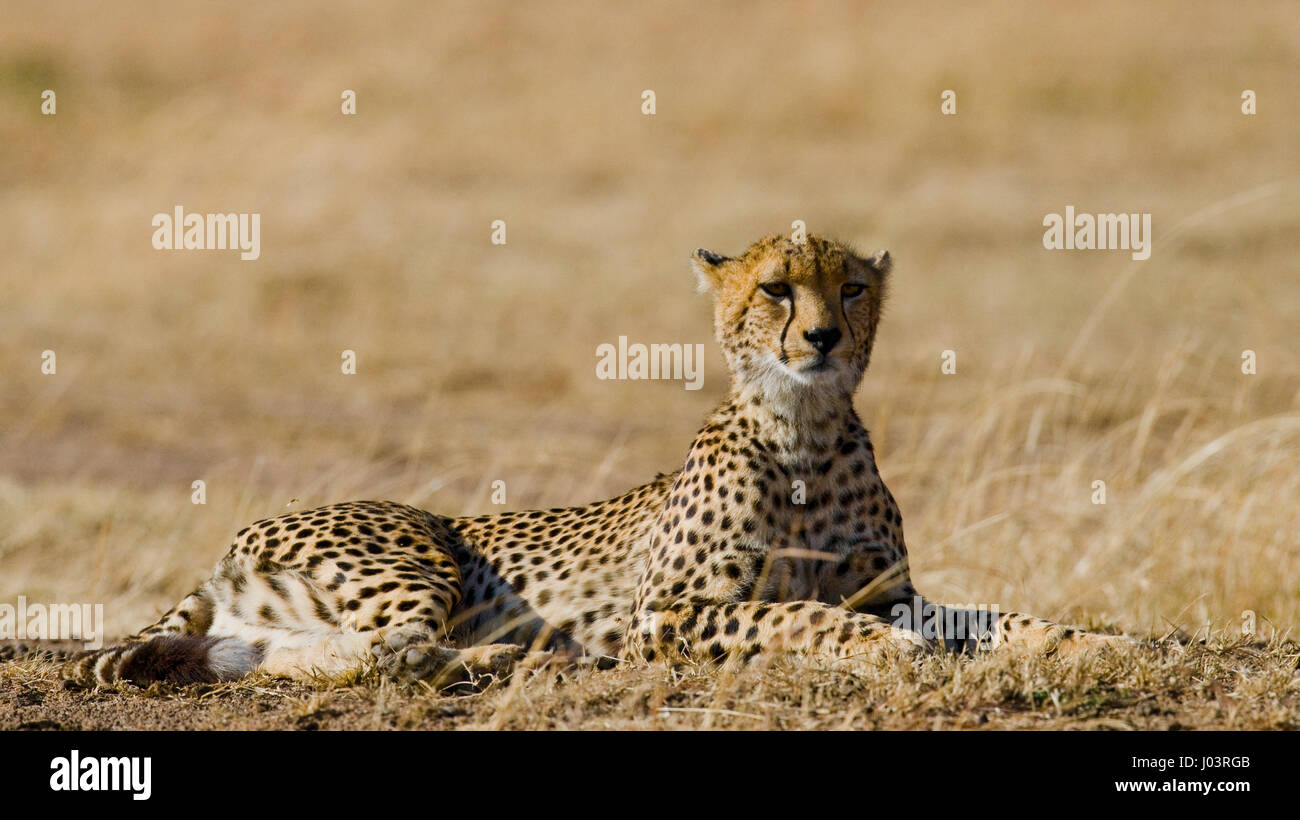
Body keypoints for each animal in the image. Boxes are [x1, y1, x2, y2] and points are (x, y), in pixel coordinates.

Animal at [53, 232, 1128, 690]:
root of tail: (234, 535)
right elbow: (798, 612)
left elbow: (995, 616)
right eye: (777, 287)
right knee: (383, 651)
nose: (821, 336)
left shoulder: (894, 588)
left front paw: (1094, 642)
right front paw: (874, 650)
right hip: (420, 551)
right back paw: (502, 655)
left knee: (298, 655)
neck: (806, 433)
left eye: (853, 287)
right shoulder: (670, 610)